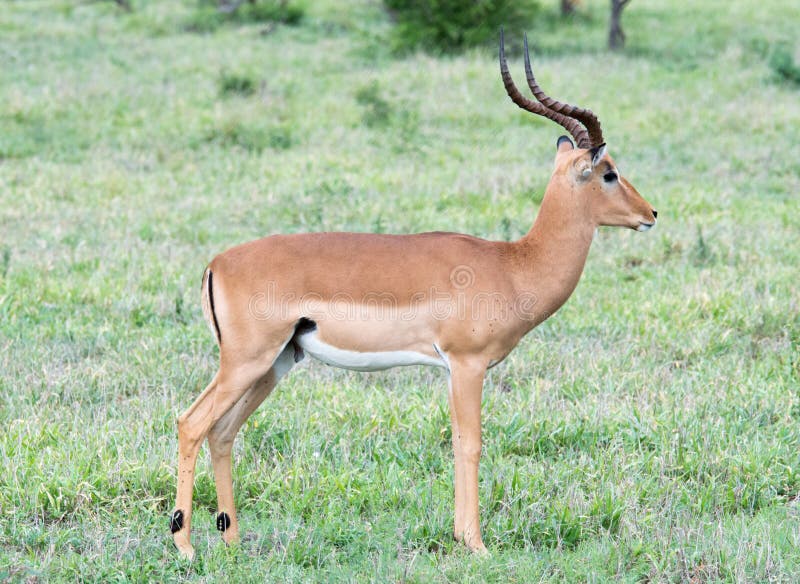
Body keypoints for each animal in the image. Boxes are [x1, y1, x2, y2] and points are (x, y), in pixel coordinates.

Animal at [170, 32, 657, 558]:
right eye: (608, 172)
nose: (651, 213)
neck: (513, 264)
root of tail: (217, 264)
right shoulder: (467, 364)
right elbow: (470, 443)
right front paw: (476, 544)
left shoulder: (453, 369)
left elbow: (460, 441)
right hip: (245, 362)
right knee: (191, 423)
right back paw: (185, 544)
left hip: (275, 364)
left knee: (223, 433)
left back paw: (233, 539)